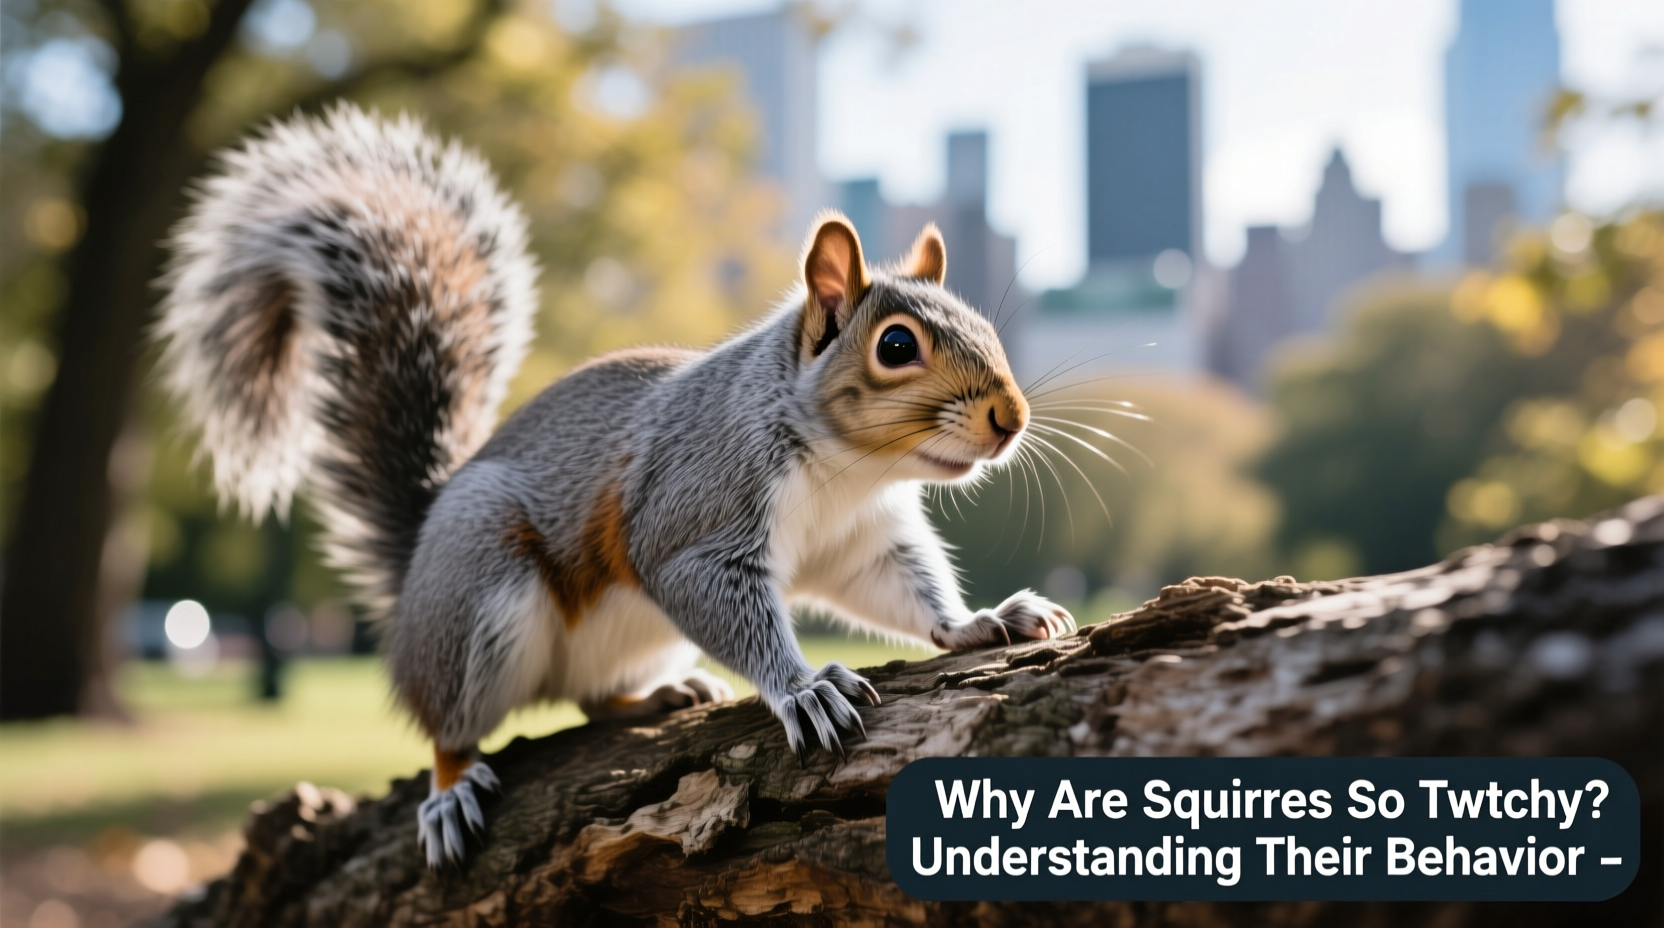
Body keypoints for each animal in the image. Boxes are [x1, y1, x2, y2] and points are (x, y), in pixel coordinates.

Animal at [155, 105, 1073, 866]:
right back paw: (451, 787)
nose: (1011, 416)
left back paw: (662, 694)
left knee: (592, 699)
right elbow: (710, 589)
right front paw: (803, 687)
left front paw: (981, 621)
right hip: (479, 593)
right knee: (450, 721)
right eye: (895, 346)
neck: (845, 469)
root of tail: (414, 578)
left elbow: (903, 590)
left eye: (985, 325)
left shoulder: (859, 540)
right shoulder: (698, 510)